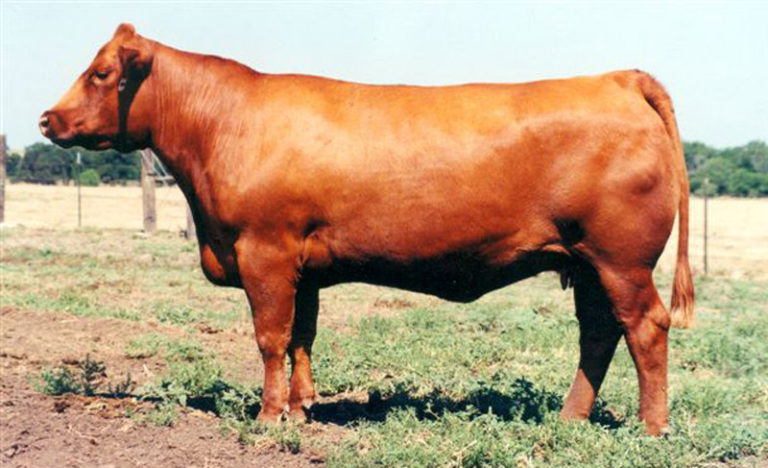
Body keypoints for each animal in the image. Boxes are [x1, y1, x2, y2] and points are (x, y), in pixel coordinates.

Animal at [41, 24, 694, 435]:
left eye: (101, 72)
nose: (47, 118)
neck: (222, 124)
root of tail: (616, 78)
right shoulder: (301, 265)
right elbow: (301, 337)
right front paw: (302, 409)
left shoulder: (264, 251)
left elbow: (270, 338)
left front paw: (268, 417)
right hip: (586, 262)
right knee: (599, 333)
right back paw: (570, 418)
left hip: (621, 260)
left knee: (645, 328)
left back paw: (652, 428)